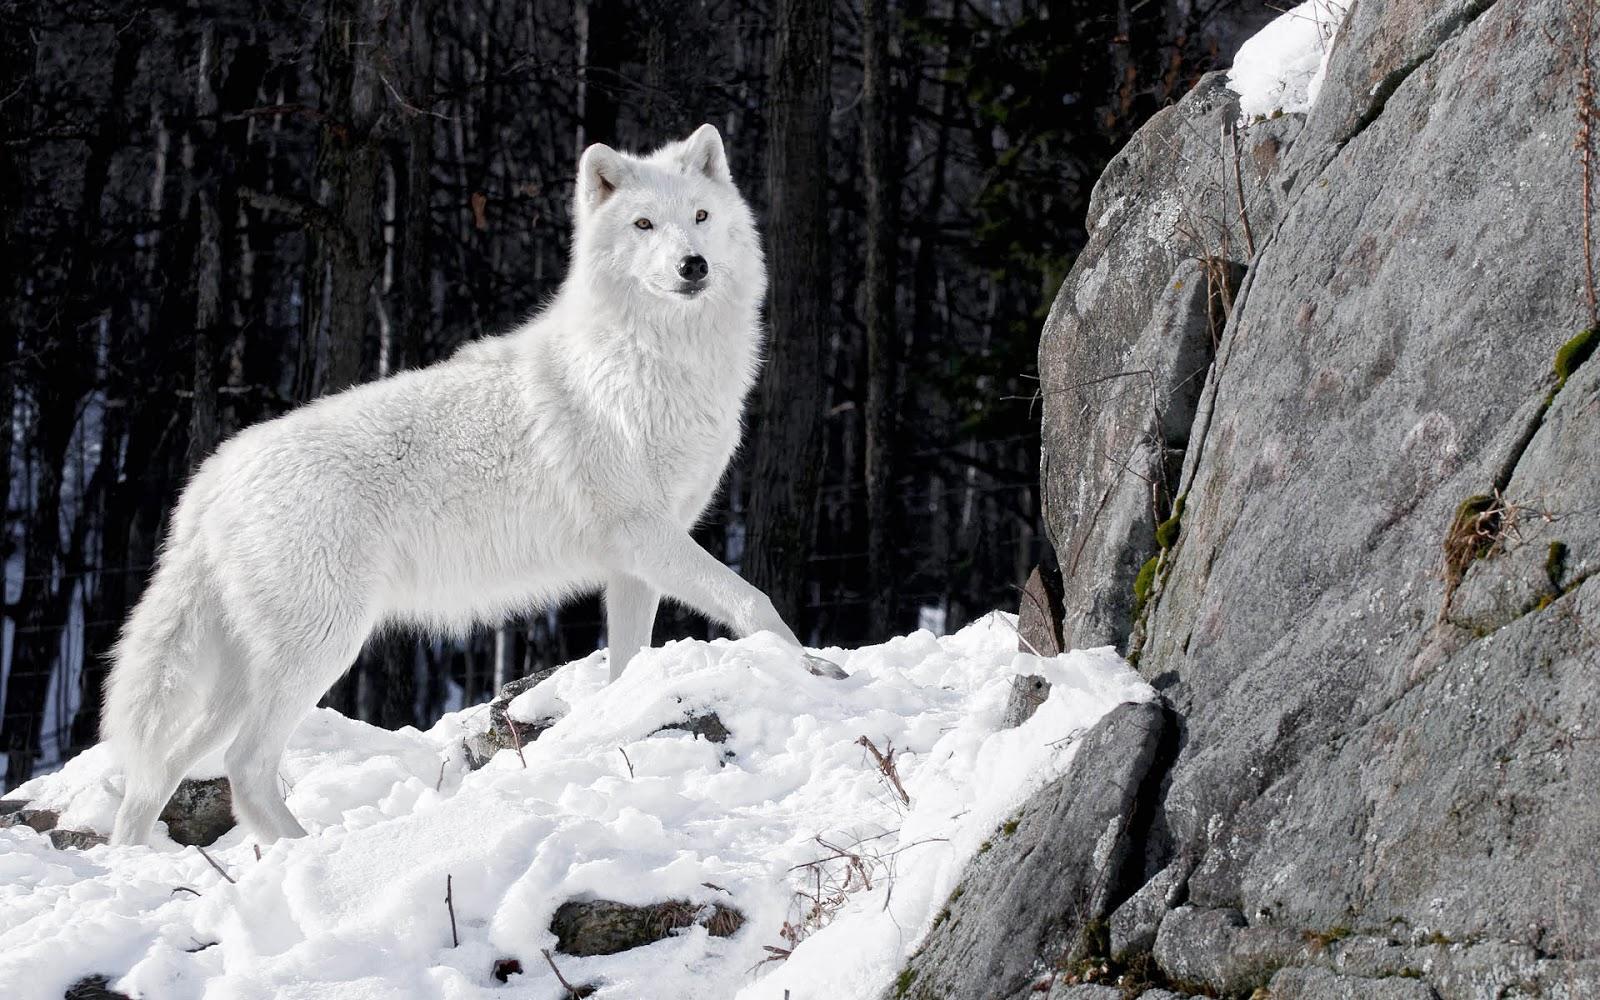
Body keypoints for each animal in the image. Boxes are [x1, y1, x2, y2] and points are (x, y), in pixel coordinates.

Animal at [103, 124, 826, 847]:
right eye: (644, 224)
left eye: (700, 217)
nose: (692, 266)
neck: (653, 361)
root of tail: (211, 477)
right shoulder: (645, 534)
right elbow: (756, 602)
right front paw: (817, 671)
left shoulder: (636, 564)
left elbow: (628, 666)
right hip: (320, 648)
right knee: (244, 767)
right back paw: (311, 853)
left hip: (245, 677)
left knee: (158, 772)